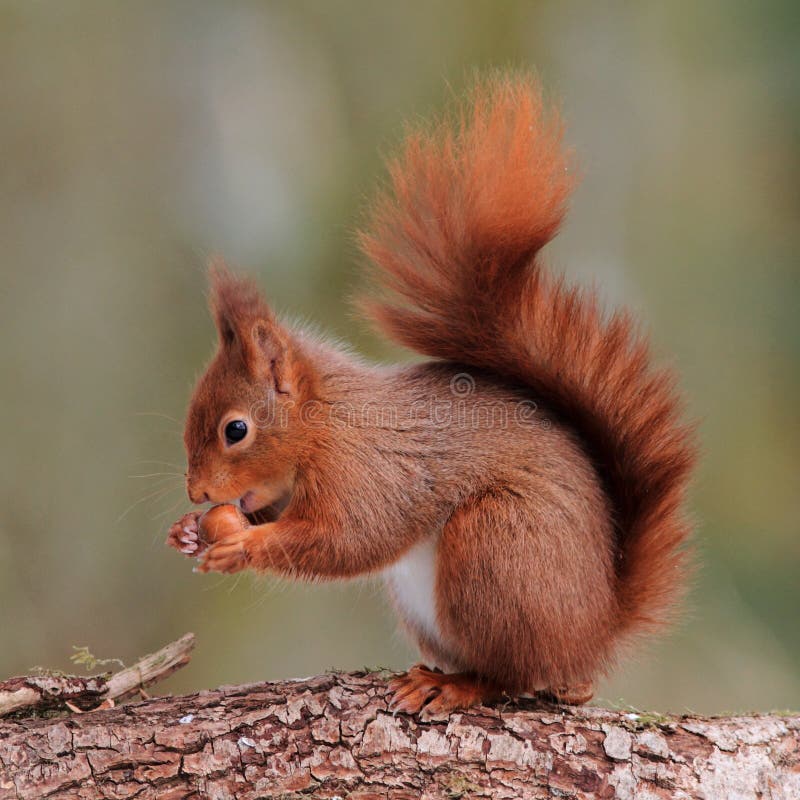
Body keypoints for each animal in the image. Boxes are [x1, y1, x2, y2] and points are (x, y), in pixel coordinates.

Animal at [167, 73, 696, 714]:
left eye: (236, 429)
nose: (196, 492)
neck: (325, 423)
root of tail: (591, 634)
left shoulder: (367, 470)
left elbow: (348, 539)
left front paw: (241, 547)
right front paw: (187, 531)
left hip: (496, 549)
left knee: (514, 674)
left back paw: (457, 684)